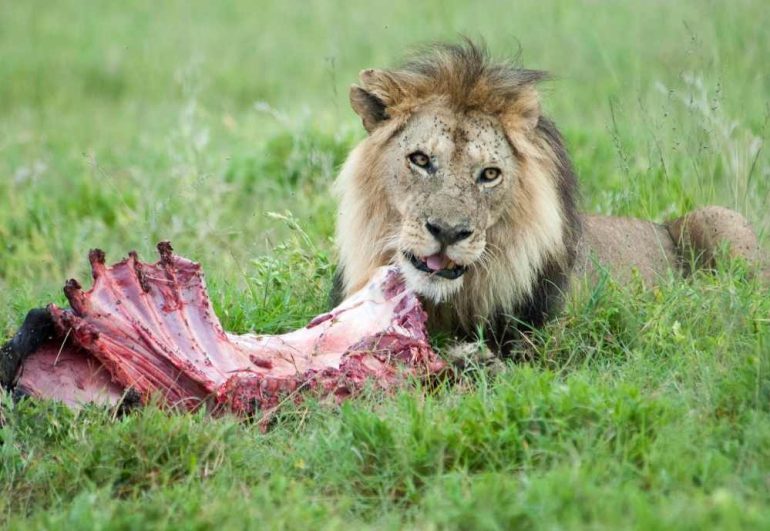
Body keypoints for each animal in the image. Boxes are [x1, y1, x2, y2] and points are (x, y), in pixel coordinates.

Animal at [331, 41, 766, 356]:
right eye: (420, 160)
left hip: (719, 218)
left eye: (489, 174)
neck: (446, 303)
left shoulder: (560, 342)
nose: (448, 232)